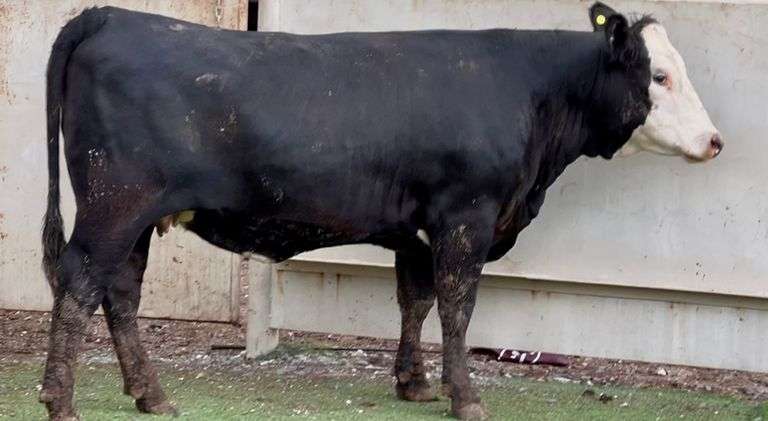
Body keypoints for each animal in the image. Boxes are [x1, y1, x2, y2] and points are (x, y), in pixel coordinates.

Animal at [39, 2, 722, 420]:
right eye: (660, 76)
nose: (714, 142)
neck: (533, 96)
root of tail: (109, 16)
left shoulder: (419, 232)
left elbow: (414, 301)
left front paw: (413, 383)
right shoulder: (467, 217)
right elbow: (457, 306)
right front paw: (464, 396)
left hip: (134, 219)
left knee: (120, 295)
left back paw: (150, 395)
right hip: (114, 205)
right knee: (79, 284)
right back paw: (61, 399)